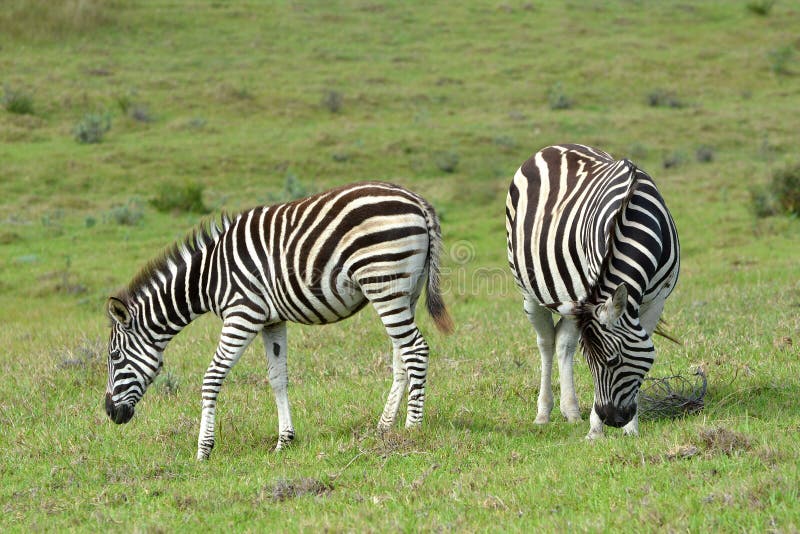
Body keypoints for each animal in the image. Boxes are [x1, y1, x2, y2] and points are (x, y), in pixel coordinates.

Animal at [105, 181, 453, 460]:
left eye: (114, 356)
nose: (109, 412)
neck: (207, 278)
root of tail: (416, 200)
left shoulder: (242, 315)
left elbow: (212, 377)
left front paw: (203, 450)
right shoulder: (271, 321)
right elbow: (277, 378)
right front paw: (284, 440)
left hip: (384, 282)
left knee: (415, 350)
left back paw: (411, 429)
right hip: (404, 291)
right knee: (401, 356)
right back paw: (384, 427)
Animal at [505, 144, 680, 439]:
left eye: (613, 360)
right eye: (590, 362)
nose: (612, 419)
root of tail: (552, 147)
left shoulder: (656, 301)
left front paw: (631, 429)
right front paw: (595, 431)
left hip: (574, 300)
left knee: (563, 342)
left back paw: (571, 411)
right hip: (530, 291)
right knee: (546, 343)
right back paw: (544, 413)